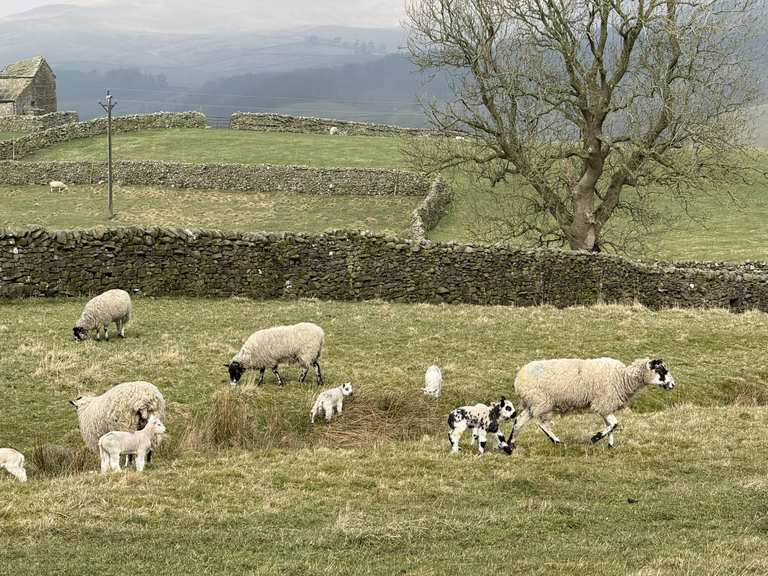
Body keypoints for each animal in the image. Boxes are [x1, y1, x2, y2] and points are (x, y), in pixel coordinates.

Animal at [509, 357, 676, 449]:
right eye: (662, 371)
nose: (673, 384)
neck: (623, 378)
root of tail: (518, 379)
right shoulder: (604, 403)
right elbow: (614, 424)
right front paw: (595, 438)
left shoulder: (605, 406)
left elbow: (611, 425)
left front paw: (610, 445)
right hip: (542, 402)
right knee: (542, 424)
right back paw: (556, 441)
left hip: (532, 403)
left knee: (519, 422)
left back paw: (511, 443)